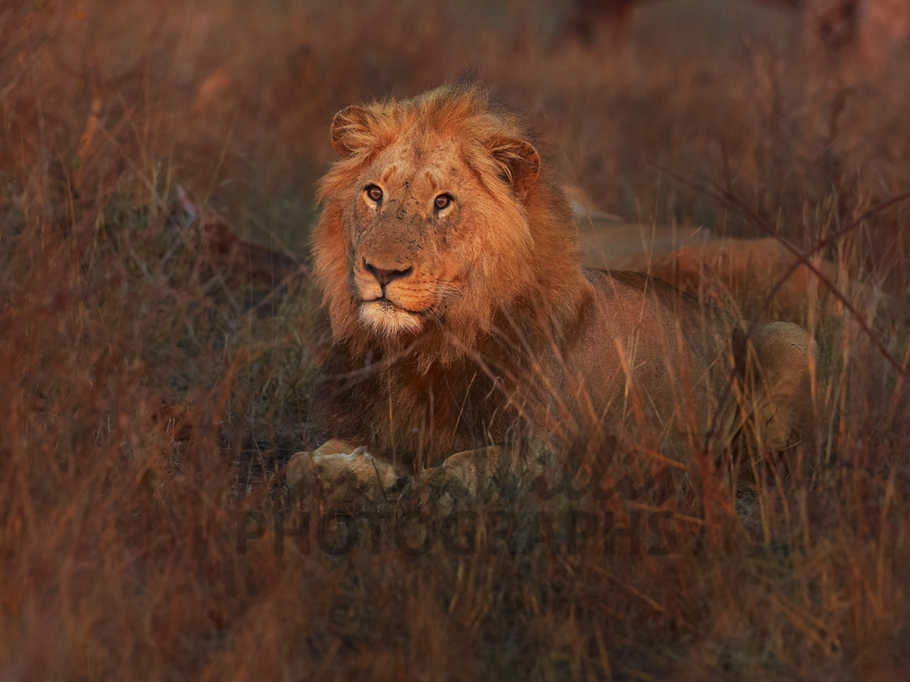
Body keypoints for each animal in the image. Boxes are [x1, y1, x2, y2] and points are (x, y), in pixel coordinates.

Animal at [287, 82, 816, 509]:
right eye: (374, 193)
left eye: (443, 202)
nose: (382, 271)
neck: (421, 350)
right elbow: (297, 464)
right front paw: (358, 474)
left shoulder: (569, 453)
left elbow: (468, 467)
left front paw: (416, 482)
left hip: (790, 338)